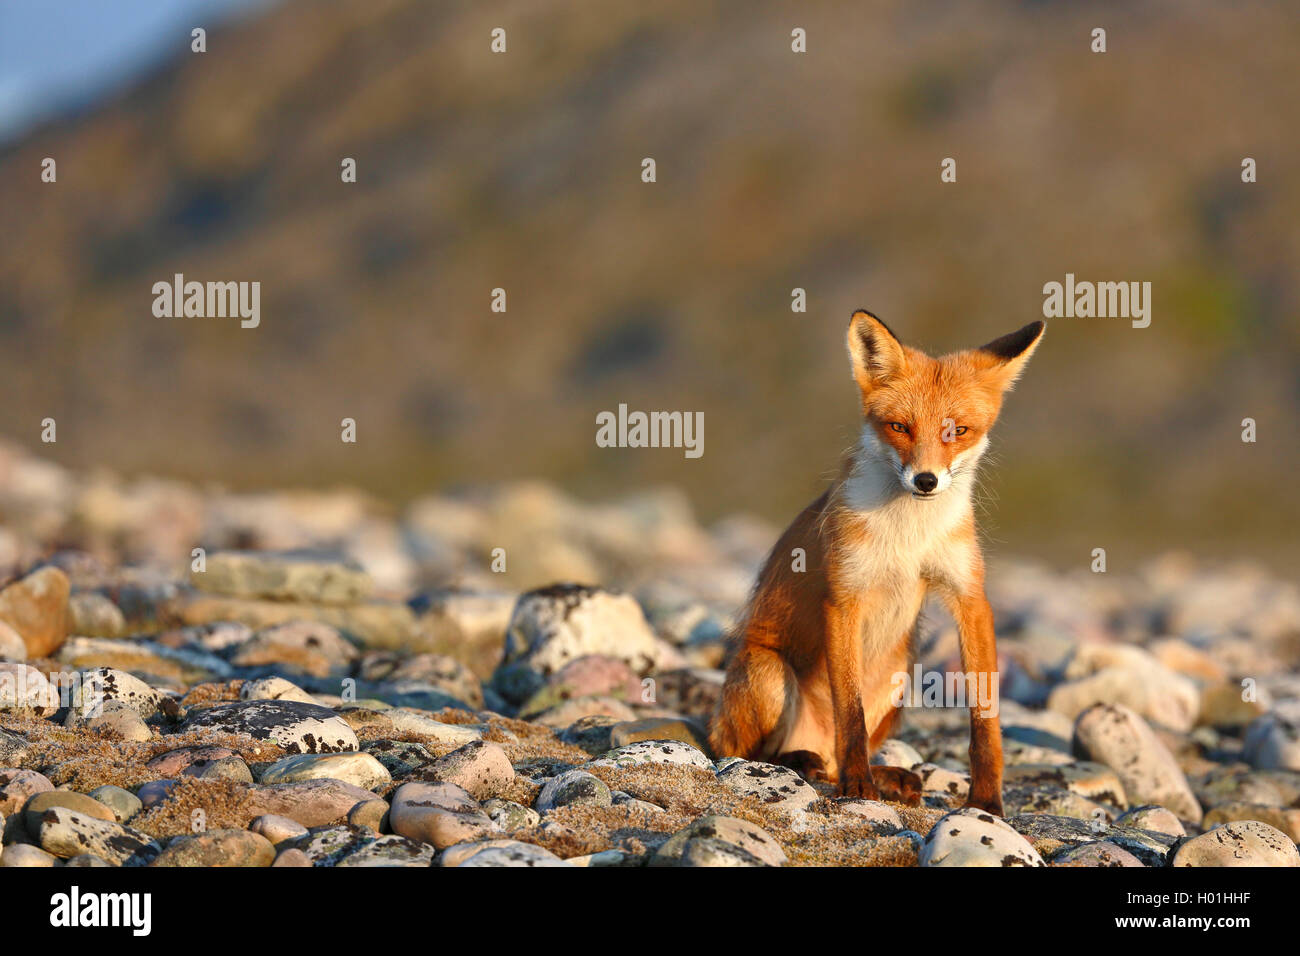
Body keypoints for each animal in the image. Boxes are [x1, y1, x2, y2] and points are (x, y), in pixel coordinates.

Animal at [708, 310, 1046, 815]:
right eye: (900, 427)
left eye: (958, 431)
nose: (925, 480)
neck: (910, 536)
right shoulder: (844, 598)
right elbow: (851, 713)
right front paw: (857, 787)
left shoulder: (970, 596)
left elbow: (984, 721)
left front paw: (986, 803)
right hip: (768, 673)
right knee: (748, 754)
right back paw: (805, 763)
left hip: (901, 673)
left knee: (838, 753)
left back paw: (883, 776)